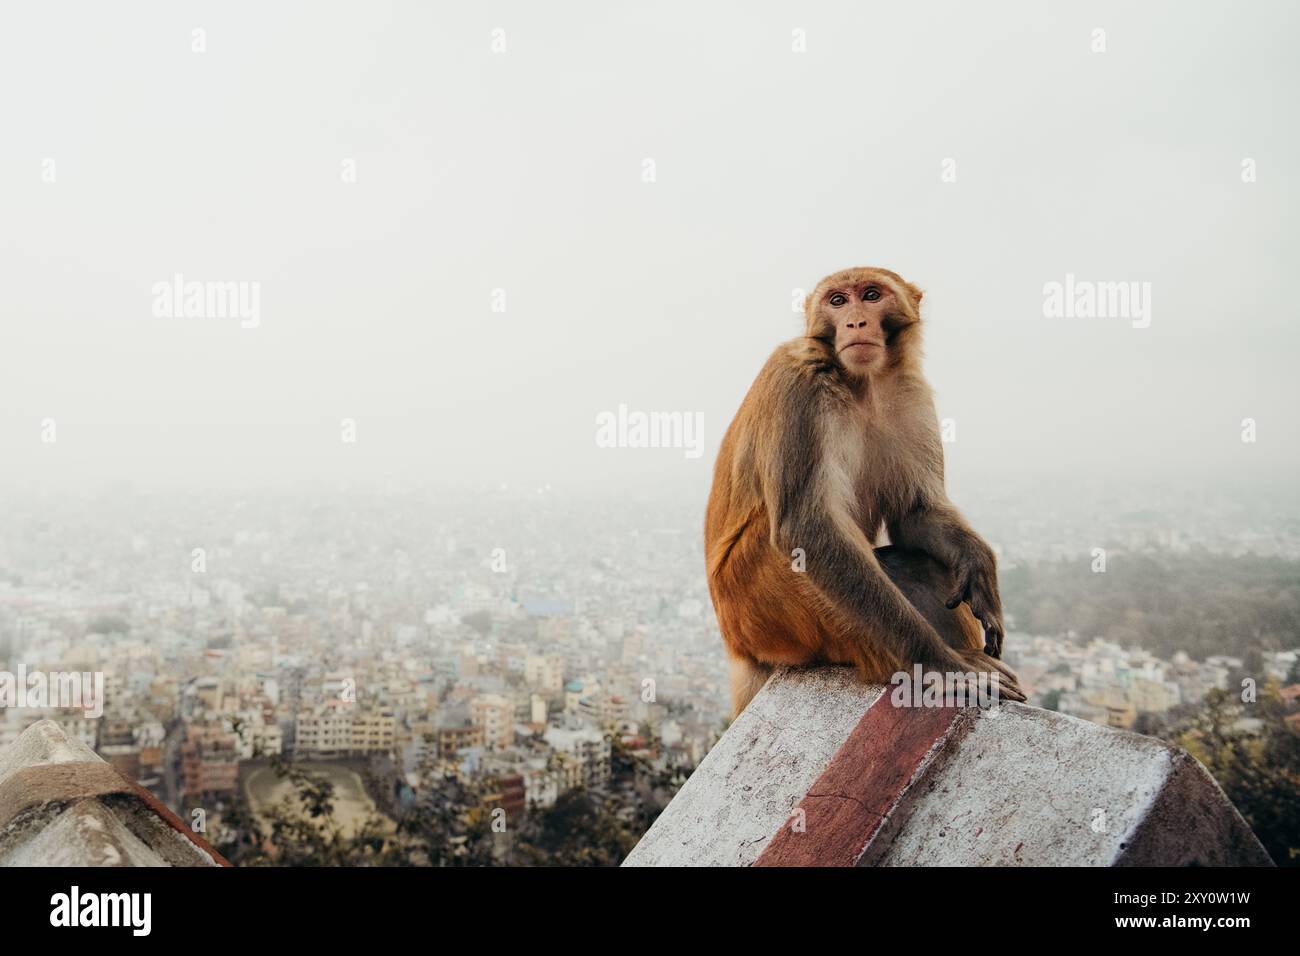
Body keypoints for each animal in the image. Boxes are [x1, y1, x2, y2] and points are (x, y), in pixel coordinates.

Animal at [704, 266, 1025, 717]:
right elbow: (808, 530)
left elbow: (915, 514)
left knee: (917, 564)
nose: (855, 322)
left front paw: (979, 564)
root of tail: (738, 646)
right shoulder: (797, 380)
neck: (862, 382)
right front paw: (941, 665)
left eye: (871, 295)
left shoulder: (912, 394)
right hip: (763, 609)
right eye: (837, 301)